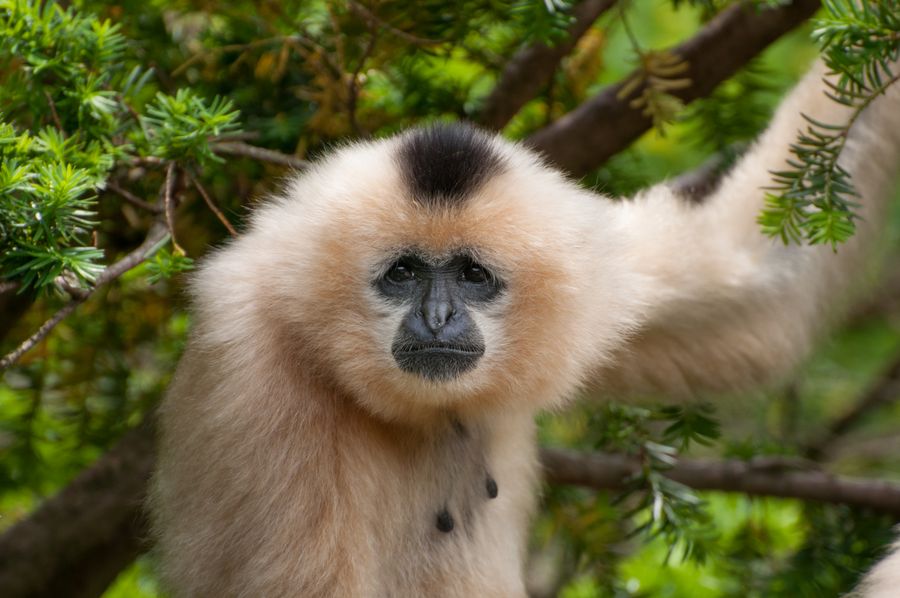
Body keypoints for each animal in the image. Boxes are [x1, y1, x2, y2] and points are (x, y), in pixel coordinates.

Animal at [150, 59, 900, 597]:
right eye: (403, 273)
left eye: (473, 275)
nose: (438, 316)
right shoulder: (257, 376)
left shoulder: (597, 271)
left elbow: (760, 294)